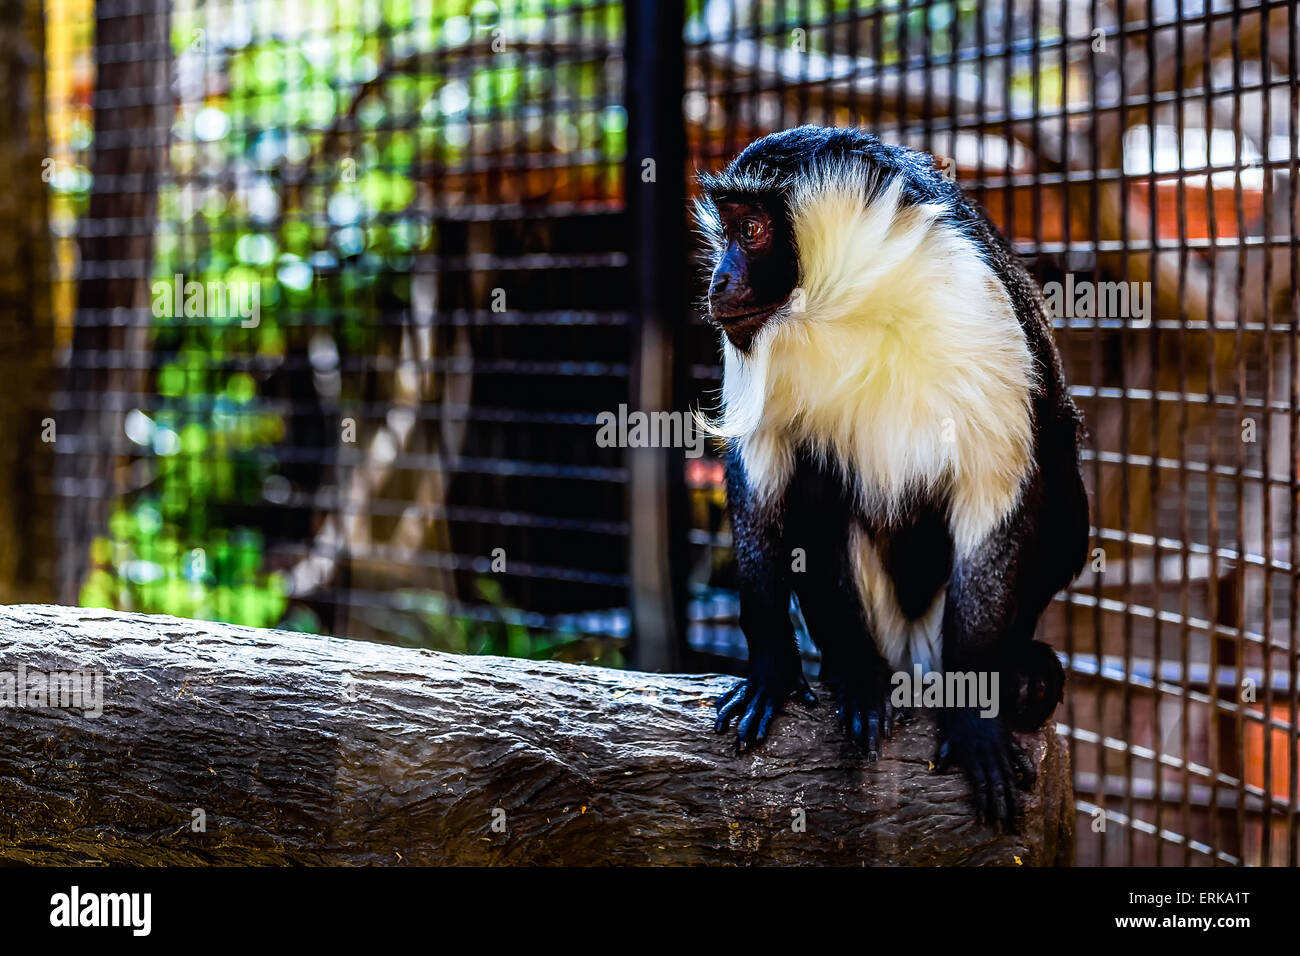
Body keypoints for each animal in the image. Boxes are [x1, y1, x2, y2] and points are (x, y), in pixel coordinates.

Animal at [696, 126, 1089, 830]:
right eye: (728, 230)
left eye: (752, 230)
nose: (721, 278)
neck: (851, 301)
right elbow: (761, 468)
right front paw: (772, 666)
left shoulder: (978, 299)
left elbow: (997, 490)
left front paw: (974, 712)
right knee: (817, 475)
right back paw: (858, 674)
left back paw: (1019, 669)